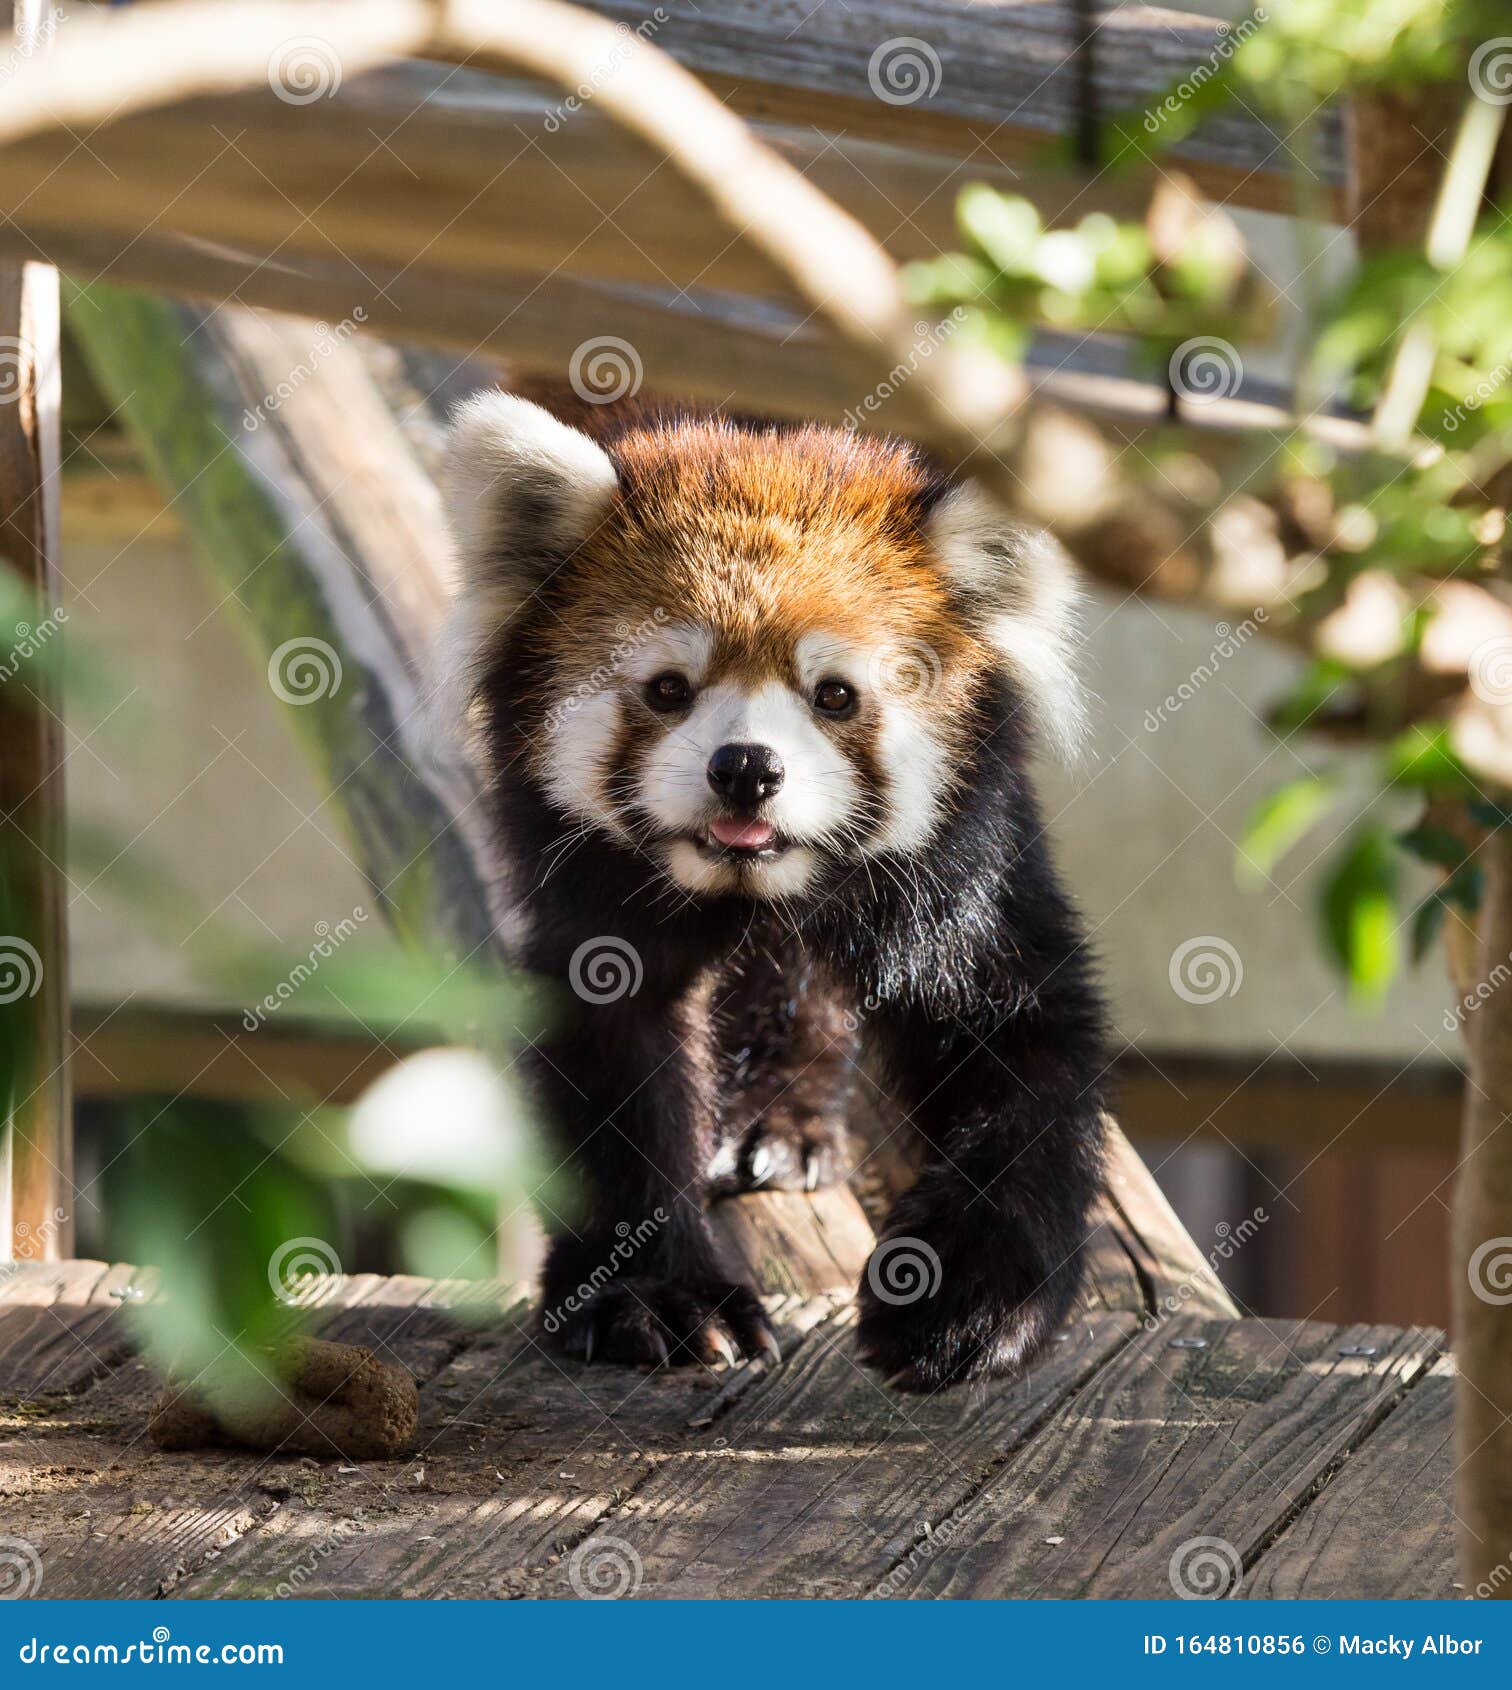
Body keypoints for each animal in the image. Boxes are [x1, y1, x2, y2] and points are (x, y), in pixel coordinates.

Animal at [440, 390, 1107, 1390]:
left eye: (834, 695)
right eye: (668, 689)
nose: (746, 769)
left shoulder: (969, 858)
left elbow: (1021, 1048)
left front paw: (970, 1300)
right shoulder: (584, 882)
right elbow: (613, 1056)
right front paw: (654, 1294)